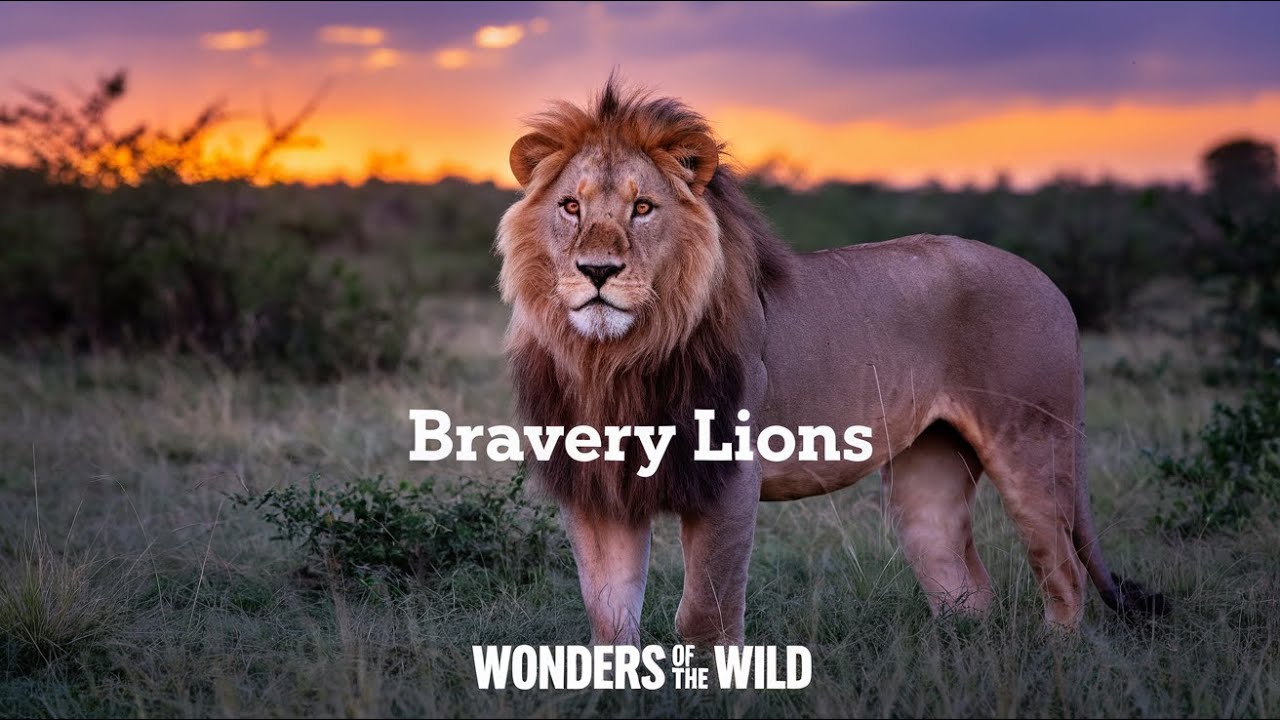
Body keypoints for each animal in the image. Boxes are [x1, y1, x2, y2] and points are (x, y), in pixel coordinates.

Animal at [495, 78, 1167, 645]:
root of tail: (1050, 283)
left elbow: (706, 610)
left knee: (1063, 570)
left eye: (643, 208)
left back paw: (1054, 656)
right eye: (571, 207)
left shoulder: (728, 478)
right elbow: (609, 616)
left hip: (1031, 443)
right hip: (929, 474)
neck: (614, 359)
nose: (597, 271)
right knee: (965, 584)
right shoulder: (597, 490)